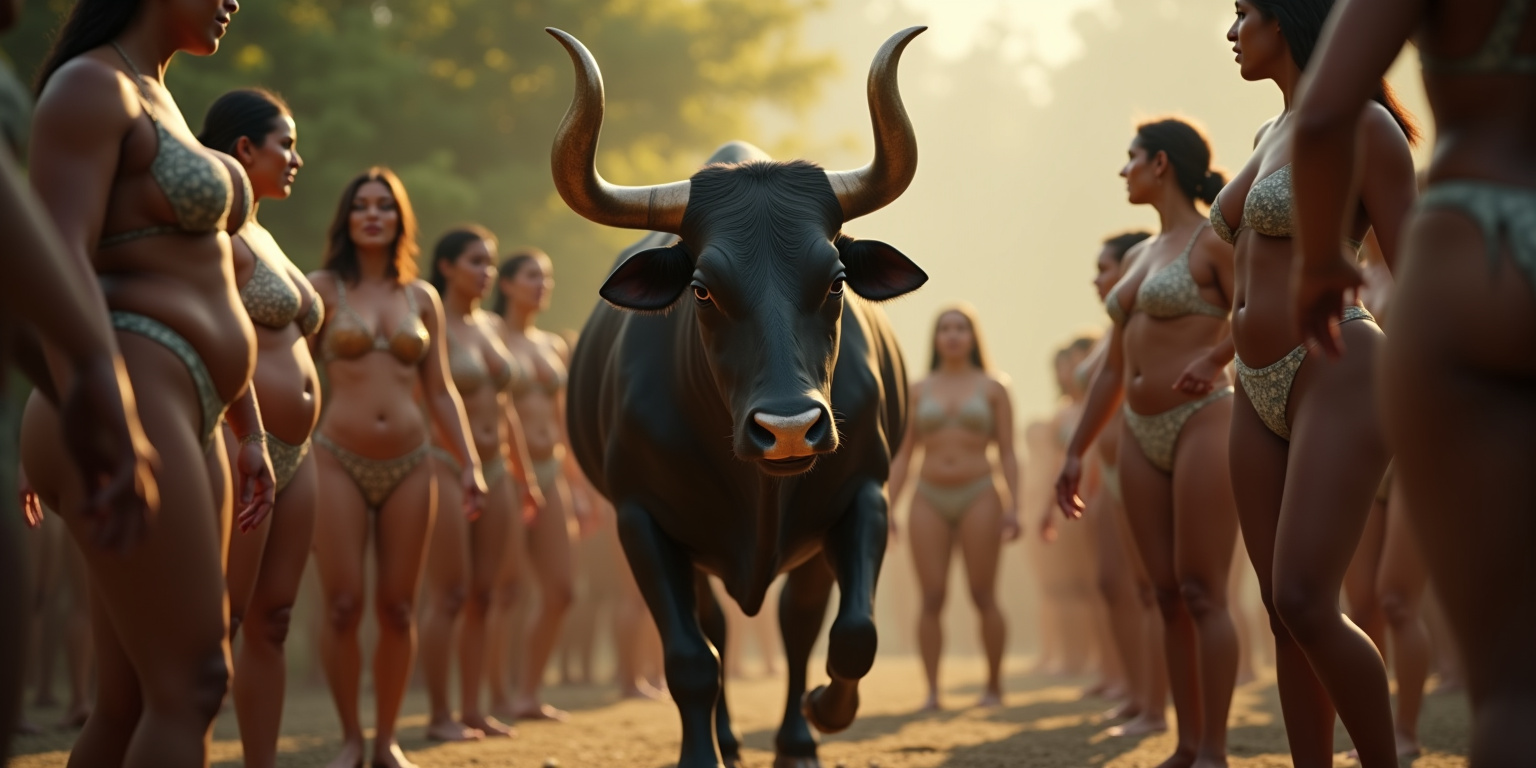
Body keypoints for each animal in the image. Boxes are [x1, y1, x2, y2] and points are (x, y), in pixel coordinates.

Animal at [550, 26, 927, 768]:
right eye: (702, 288)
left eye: (837, 279)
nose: (789, 429)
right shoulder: (640, 520)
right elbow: (691, 658)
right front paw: (703, 754)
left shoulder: (864, 495)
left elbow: (853, 635)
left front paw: (824, 712)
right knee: (716, 628)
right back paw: (727, 736)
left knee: (797, 622)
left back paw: (797, 739)